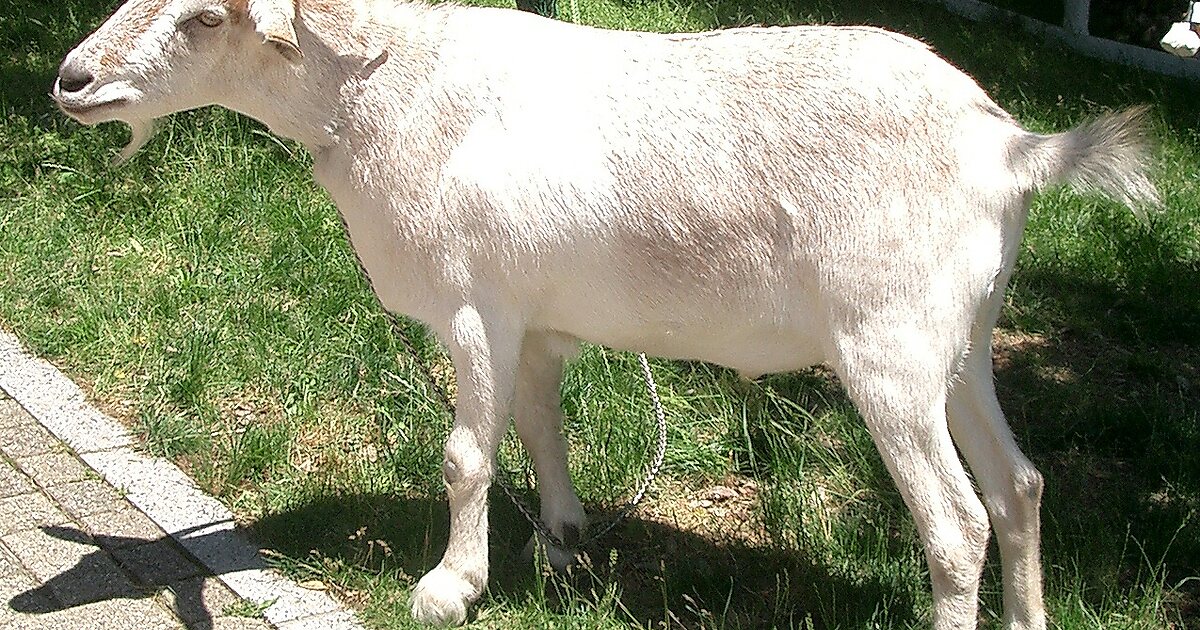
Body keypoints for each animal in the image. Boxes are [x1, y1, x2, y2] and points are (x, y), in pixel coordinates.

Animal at [55, 0, 1158, 627]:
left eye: (207, 18)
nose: (72, 80)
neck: (383, 91)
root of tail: (1008, 144)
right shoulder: (536, 322)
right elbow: (541, 426)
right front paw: (560, 547)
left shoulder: (475, 307)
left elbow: (465, 455)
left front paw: (449, 587)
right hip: (960, 342)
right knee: (1018, 487)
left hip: (886, 351)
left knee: (958, 523)